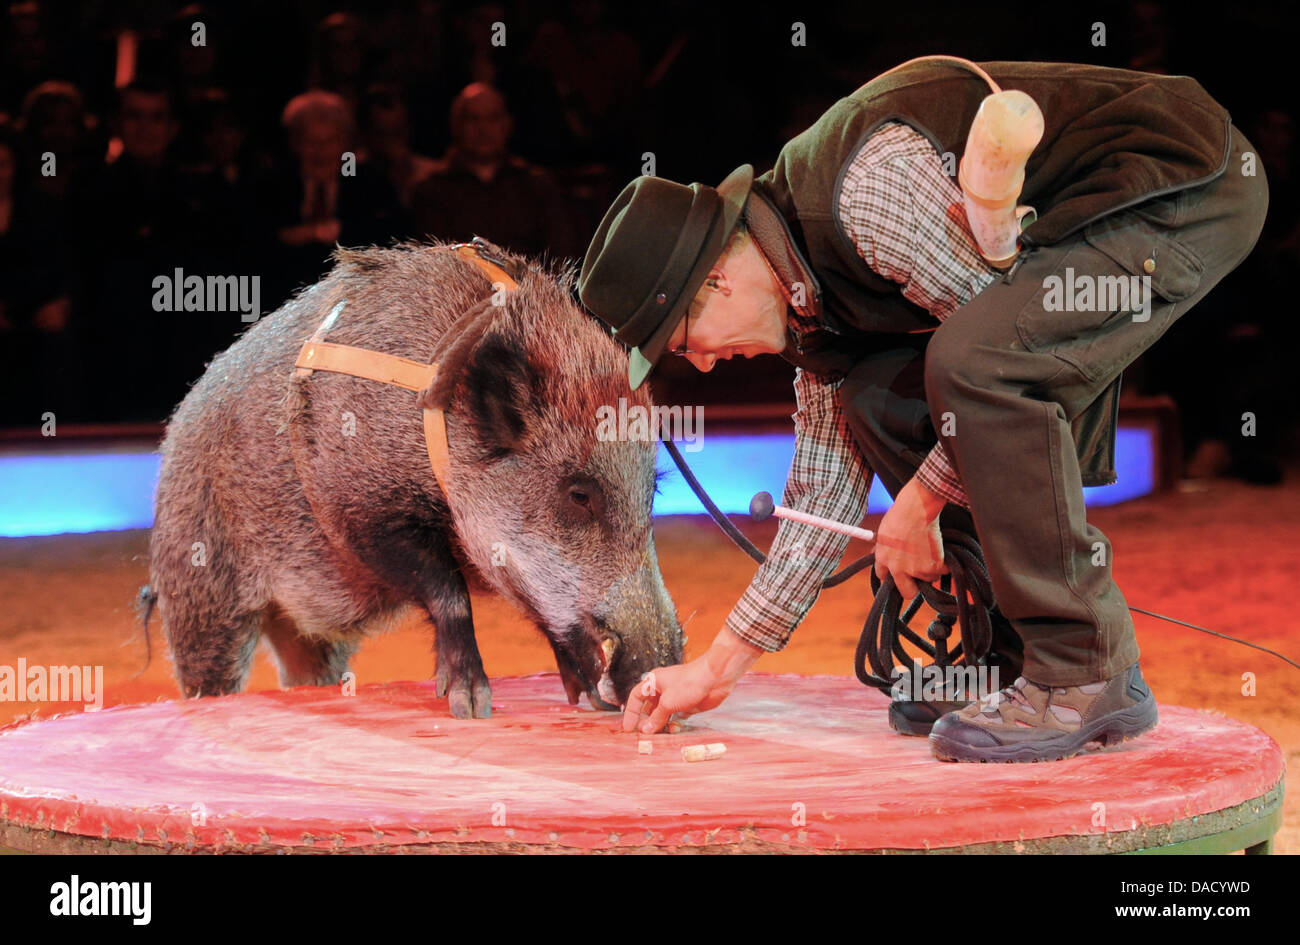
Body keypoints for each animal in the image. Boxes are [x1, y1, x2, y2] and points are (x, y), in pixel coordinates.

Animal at [143, 240, 683, 718]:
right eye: (579, 494)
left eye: (652, 489)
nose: (658, 666)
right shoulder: (360, 512)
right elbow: (449, 591)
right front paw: (470, 706)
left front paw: (583, 698)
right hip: (198, 591)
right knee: (207, 675)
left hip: (305, 634)